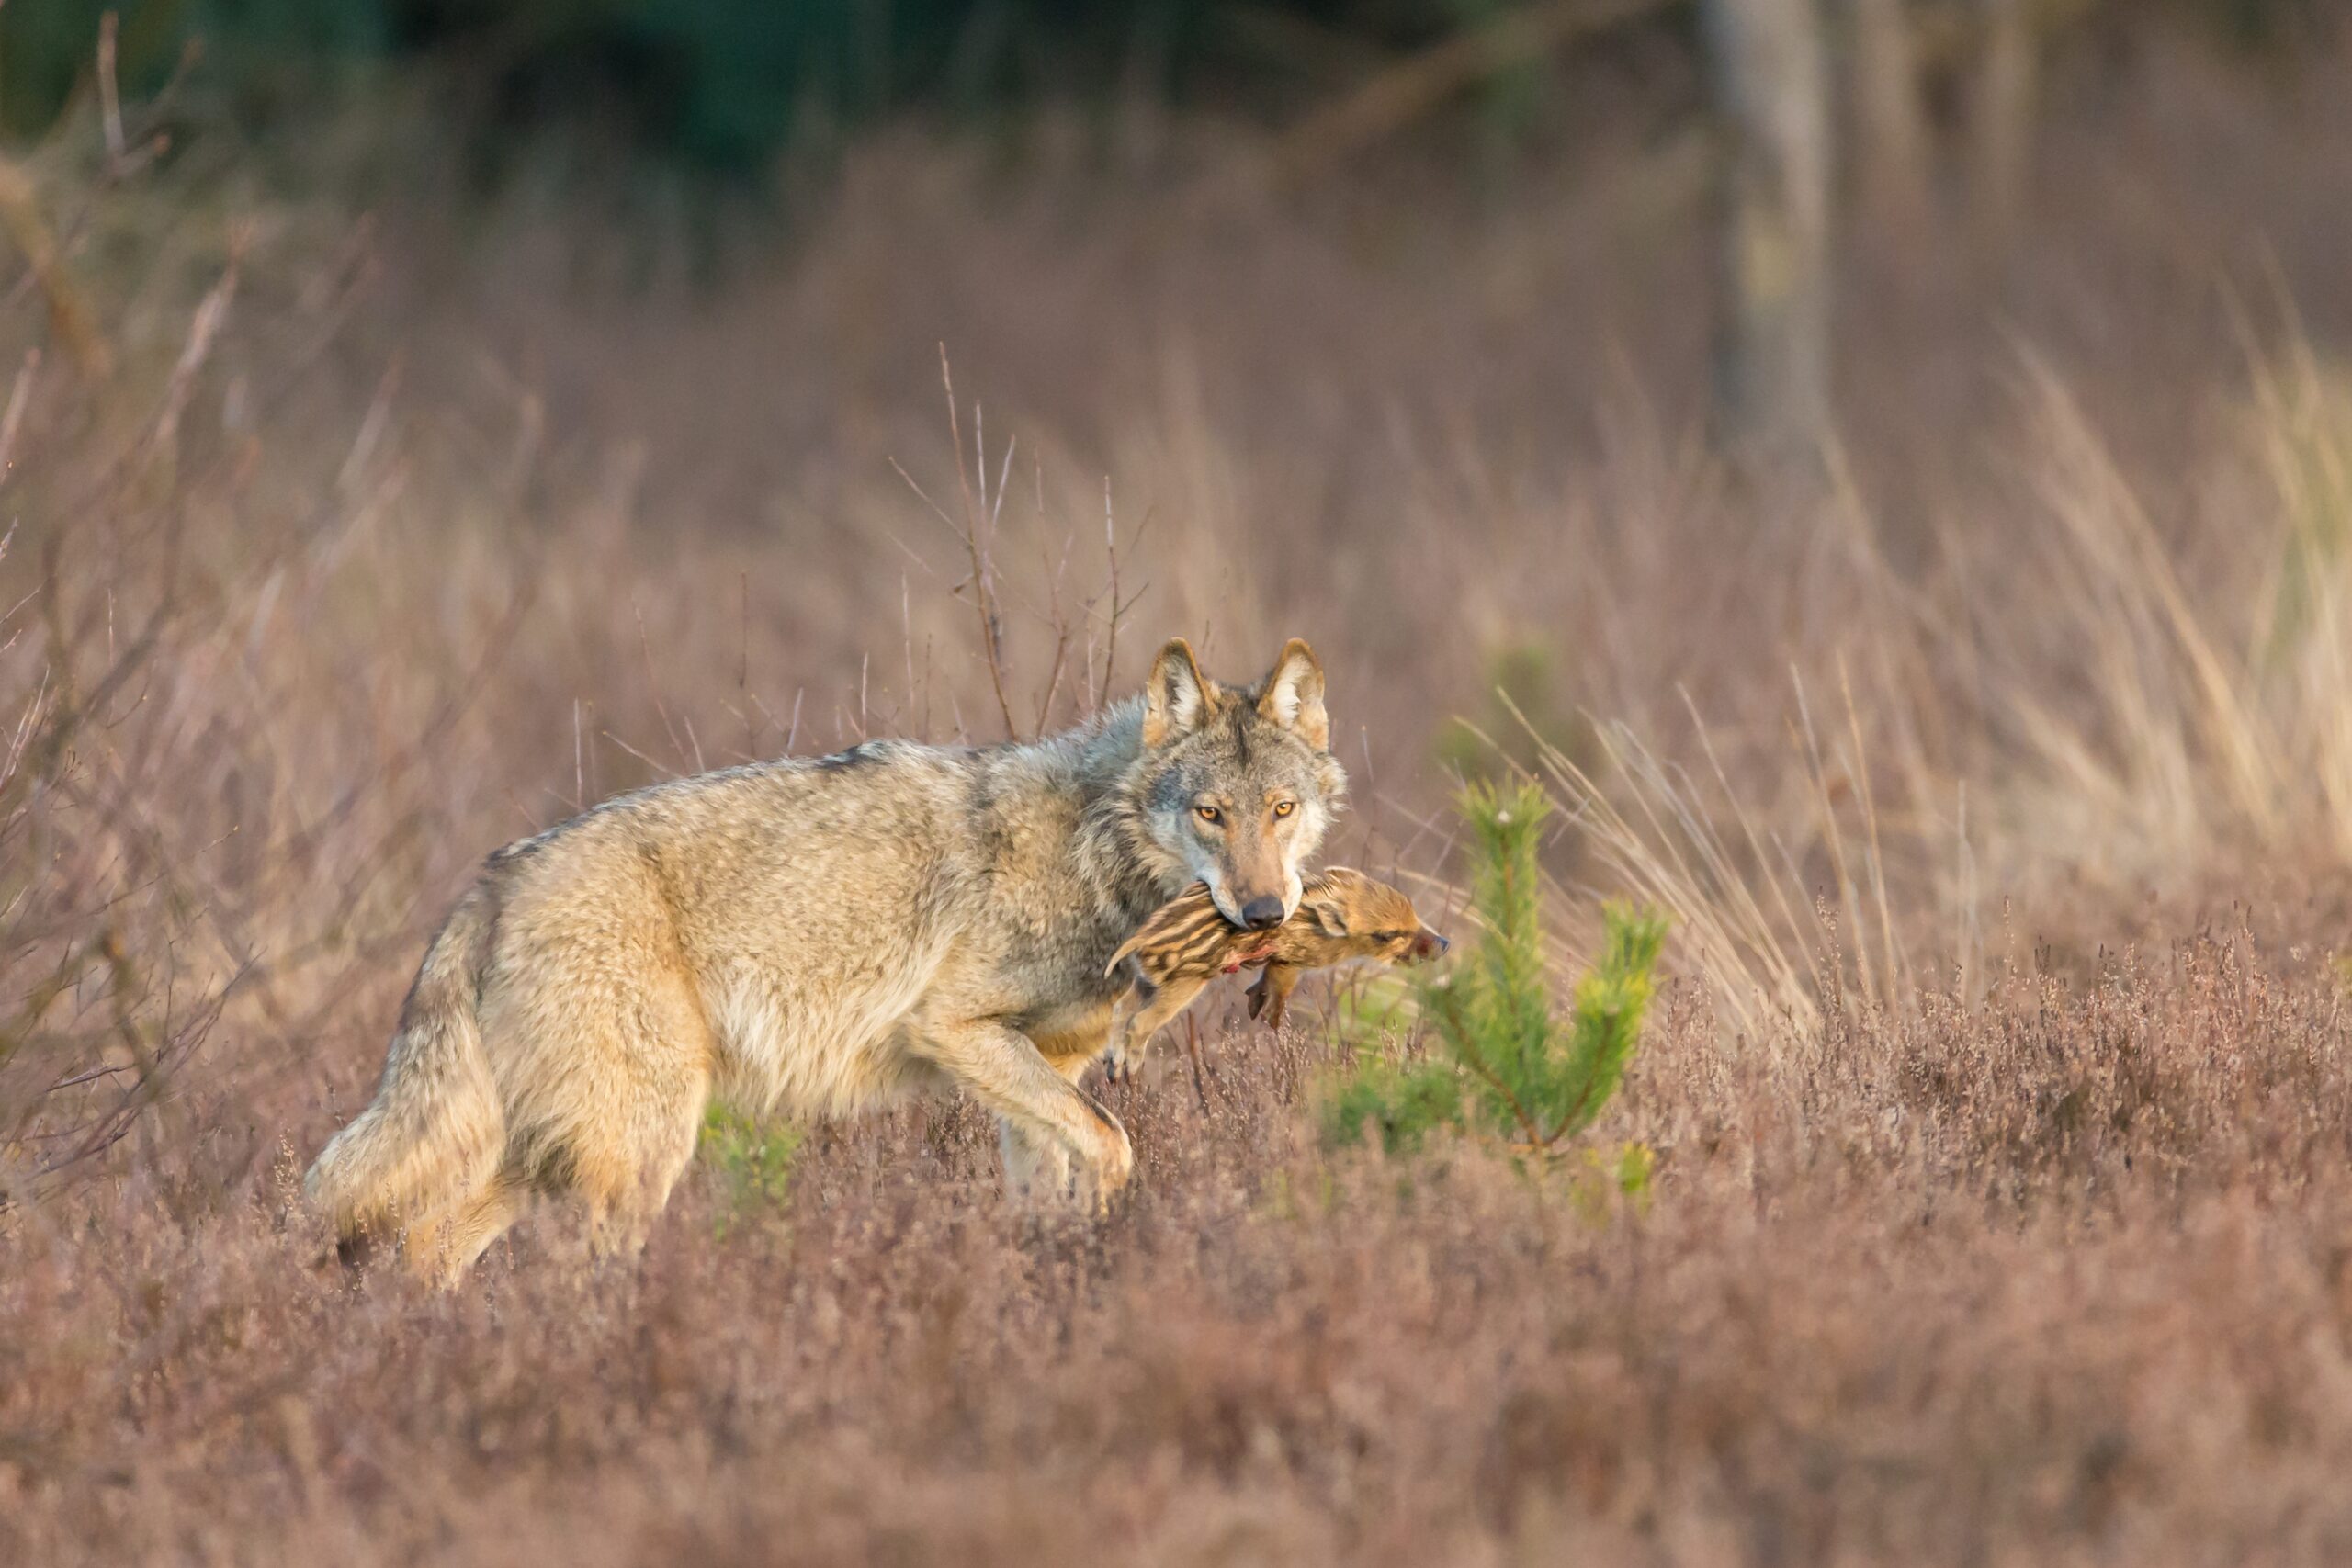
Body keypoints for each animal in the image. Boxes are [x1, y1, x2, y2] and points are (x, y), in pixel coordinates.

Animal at [305, 637, 1346, 1279]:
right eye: (1209, 813)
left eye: (1280, 810)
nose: (1262, 913)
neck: (1093, 847)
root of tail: (494, 877)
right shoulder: (955, 1031)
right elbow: (1114, 1142)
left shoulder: (1039, 1071)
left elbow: (1057, 1178)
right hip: (638, 1150)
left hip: (554, 1151)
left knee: (424, 1247)